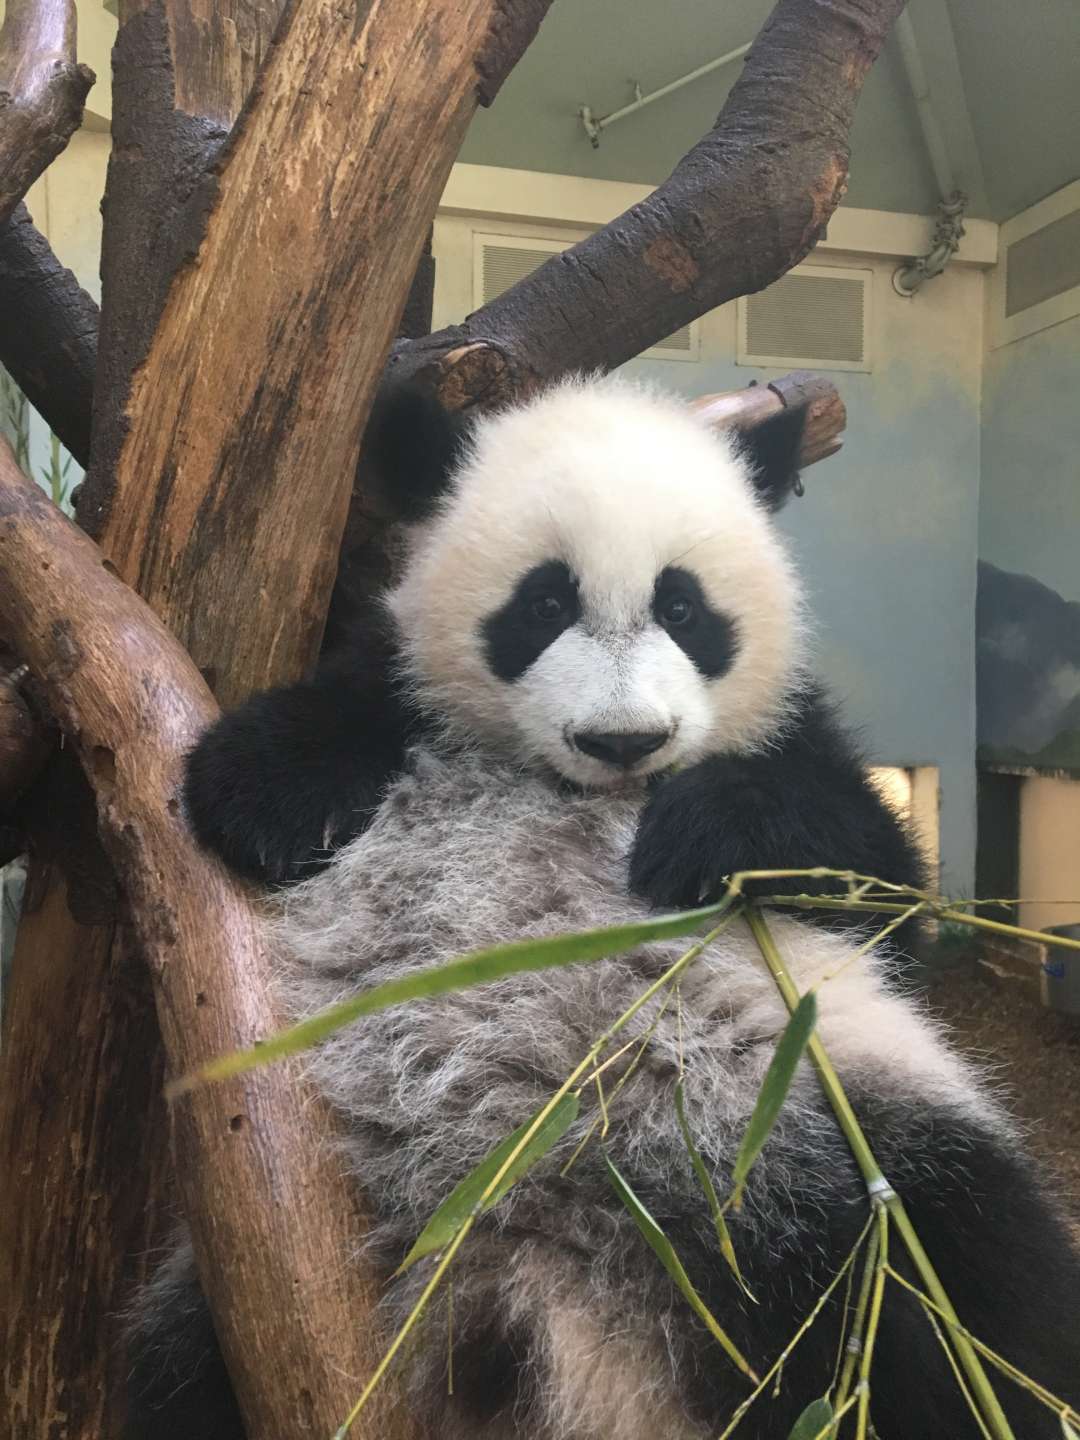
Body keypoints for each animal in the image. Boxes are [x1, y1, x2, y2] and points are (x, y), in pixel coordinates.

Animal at [127, 377, 1080, 1439]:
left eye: (684, 607)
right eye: (544, 603)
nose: (625, 742)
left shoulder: (798, 743)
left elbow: (879, 886)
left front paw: (700, 833)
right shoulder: (403, 694)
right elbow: (309, 735)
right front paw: (262, 788)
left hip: (849, 1140)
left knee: (967, 1302)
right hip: (251, 1283)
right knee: (177, 1378)